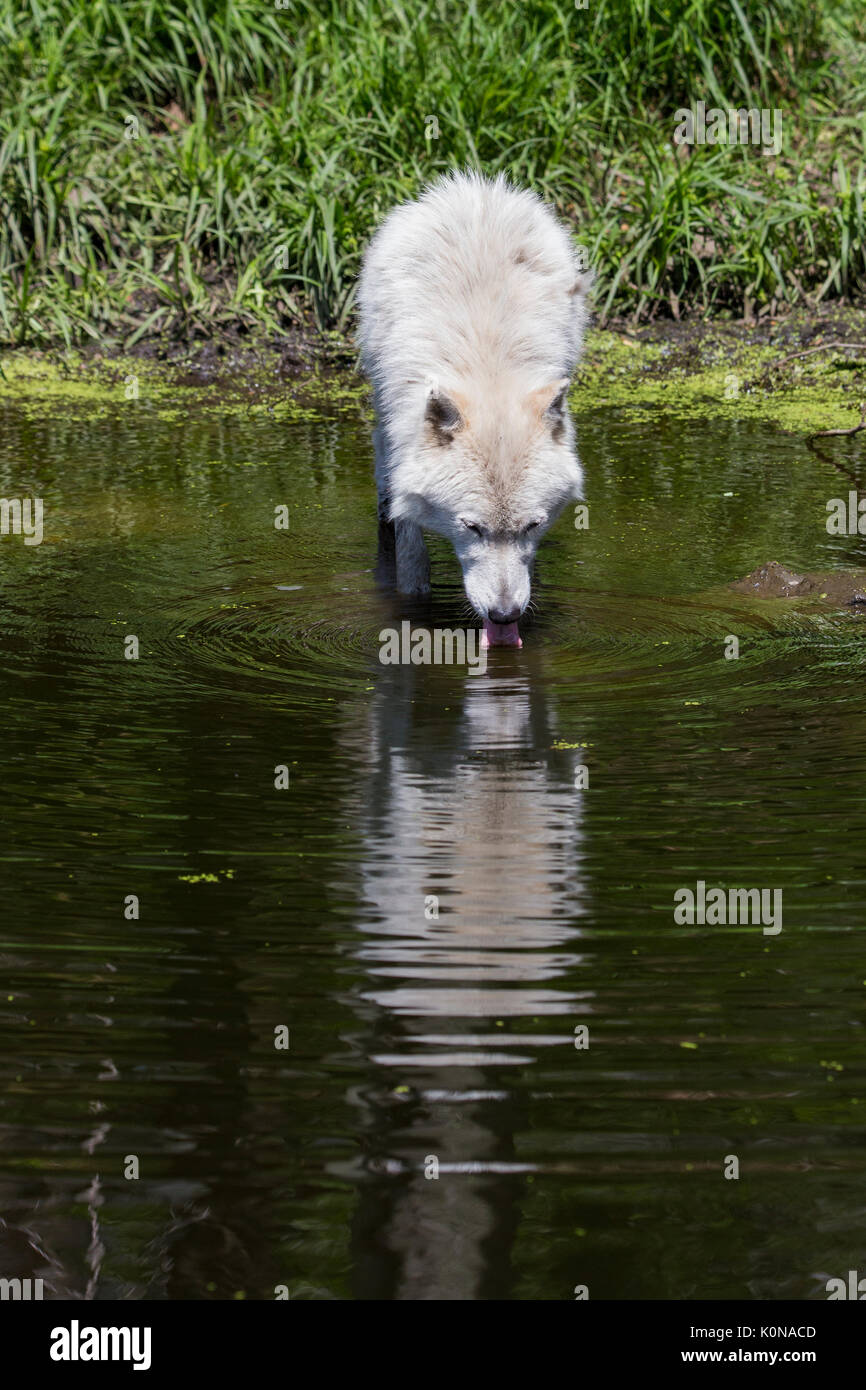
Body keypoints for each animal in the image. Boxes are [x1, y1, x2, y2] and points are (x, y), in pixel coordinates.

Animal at [357, 170, 591, 647]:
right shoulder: (402, 441)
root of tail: (476, 185)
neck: (489, 368)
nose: (504, 615)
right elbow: (412, 562)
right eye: (471, 528)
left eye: (532, 527)